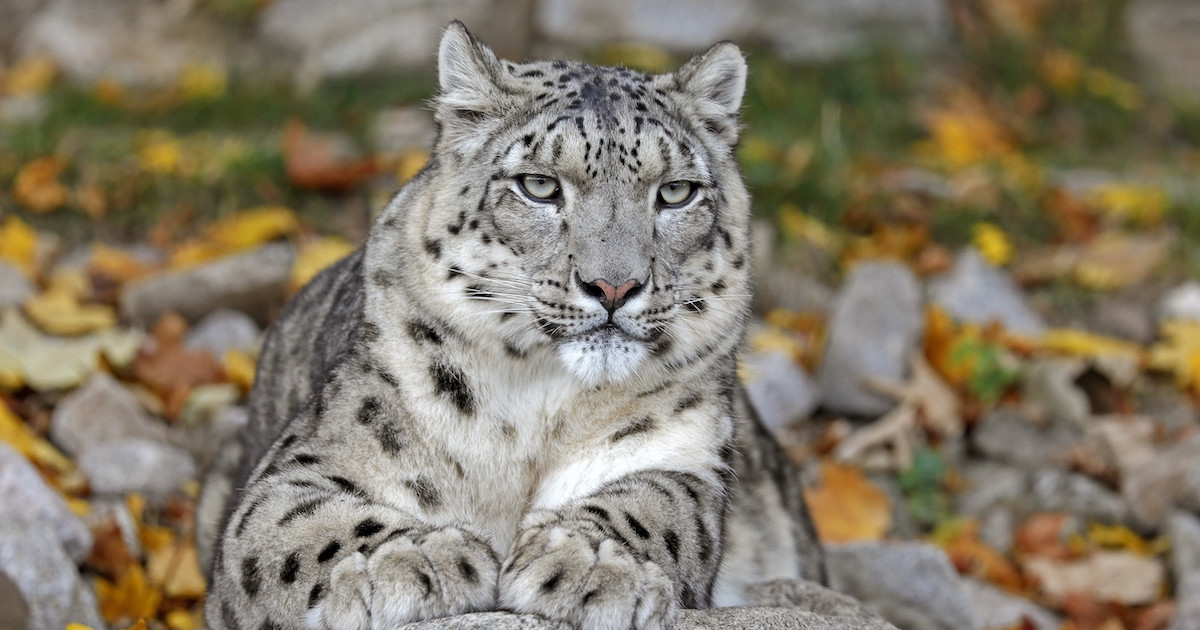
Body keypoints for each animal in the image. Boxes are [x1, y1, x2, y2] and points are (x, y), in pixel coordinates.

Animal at [197, 21, 825, 630]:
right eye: (539, 185)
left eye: (675, 192)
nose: (614, 286)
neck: (536, 416)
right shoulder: (304, 467)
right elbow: (295, 526)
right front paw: (415, 558)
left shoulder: (684, 455)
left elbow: (658, 505)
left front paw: (588, 561)